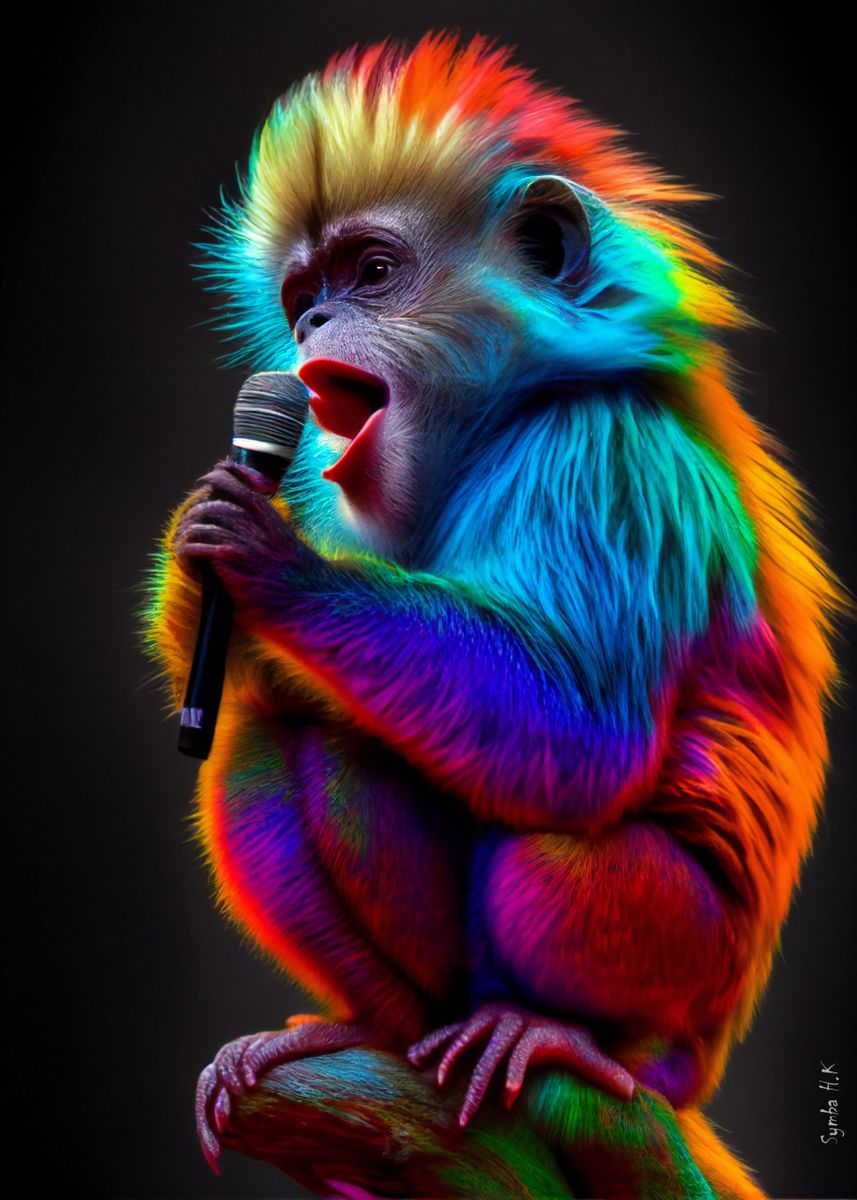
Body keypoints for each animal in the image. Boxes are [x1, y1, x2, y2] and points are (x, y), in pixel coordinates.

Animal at [141, 30, 847, 1198]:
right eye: (302, 297)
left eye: (371, 275)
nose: (315, 323)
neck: (502, 418)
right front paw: (193, 575)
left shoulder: (601, 453)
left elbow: (575, 737)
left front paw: (263, 556)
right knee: (269, 739)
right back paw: (368, 1026)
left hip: (676, 944)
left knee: (519, 849)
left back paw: (584, 1044)